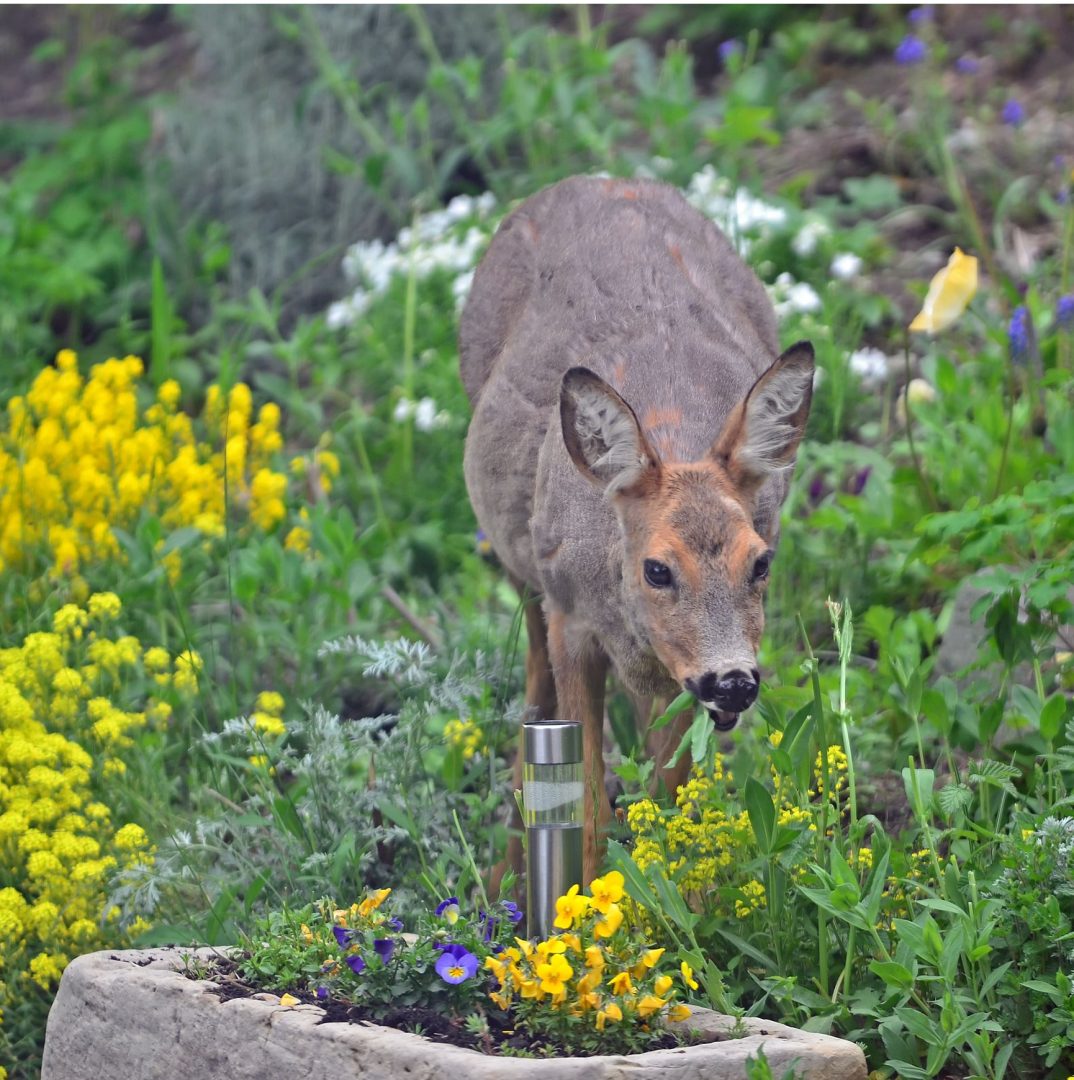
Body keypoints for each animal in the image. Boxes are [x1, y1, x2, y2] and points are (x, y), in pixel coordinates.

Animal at [459, 175, 814, 885]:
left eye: (760, 562)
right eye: (657, 568)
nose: (733, 681)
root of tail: (598, 178)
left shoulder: (677, 677)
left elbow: (674, 804)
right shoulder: (572, 621)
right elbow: (591, 808)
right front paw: (583, 902)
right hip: (524, 572)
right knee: (531, 692)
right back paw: (503, 874)